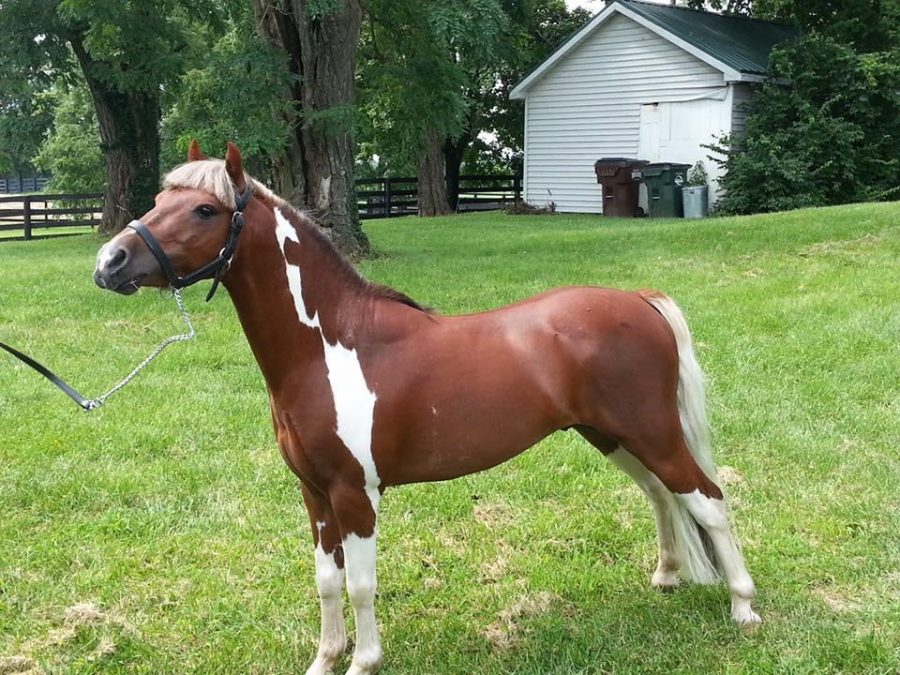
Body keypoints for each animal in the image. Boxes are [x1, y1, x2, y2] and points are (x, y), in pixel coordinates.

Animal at [92, 142, 760, 675]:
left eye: (204, 209)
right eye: (160, 197)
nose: (110, 263)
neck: (328, 347)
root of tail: (639, 299)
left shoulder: (355, 494)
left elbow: (361, 585)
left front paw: (363, 662)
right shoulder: (313, 493)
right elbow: (327, 582)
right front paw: (324, 660)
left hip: (652, 432)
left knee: (708, 499)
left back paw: (743, 607)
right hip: (611, 434)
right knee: (661, 495)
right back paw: (668, 576)